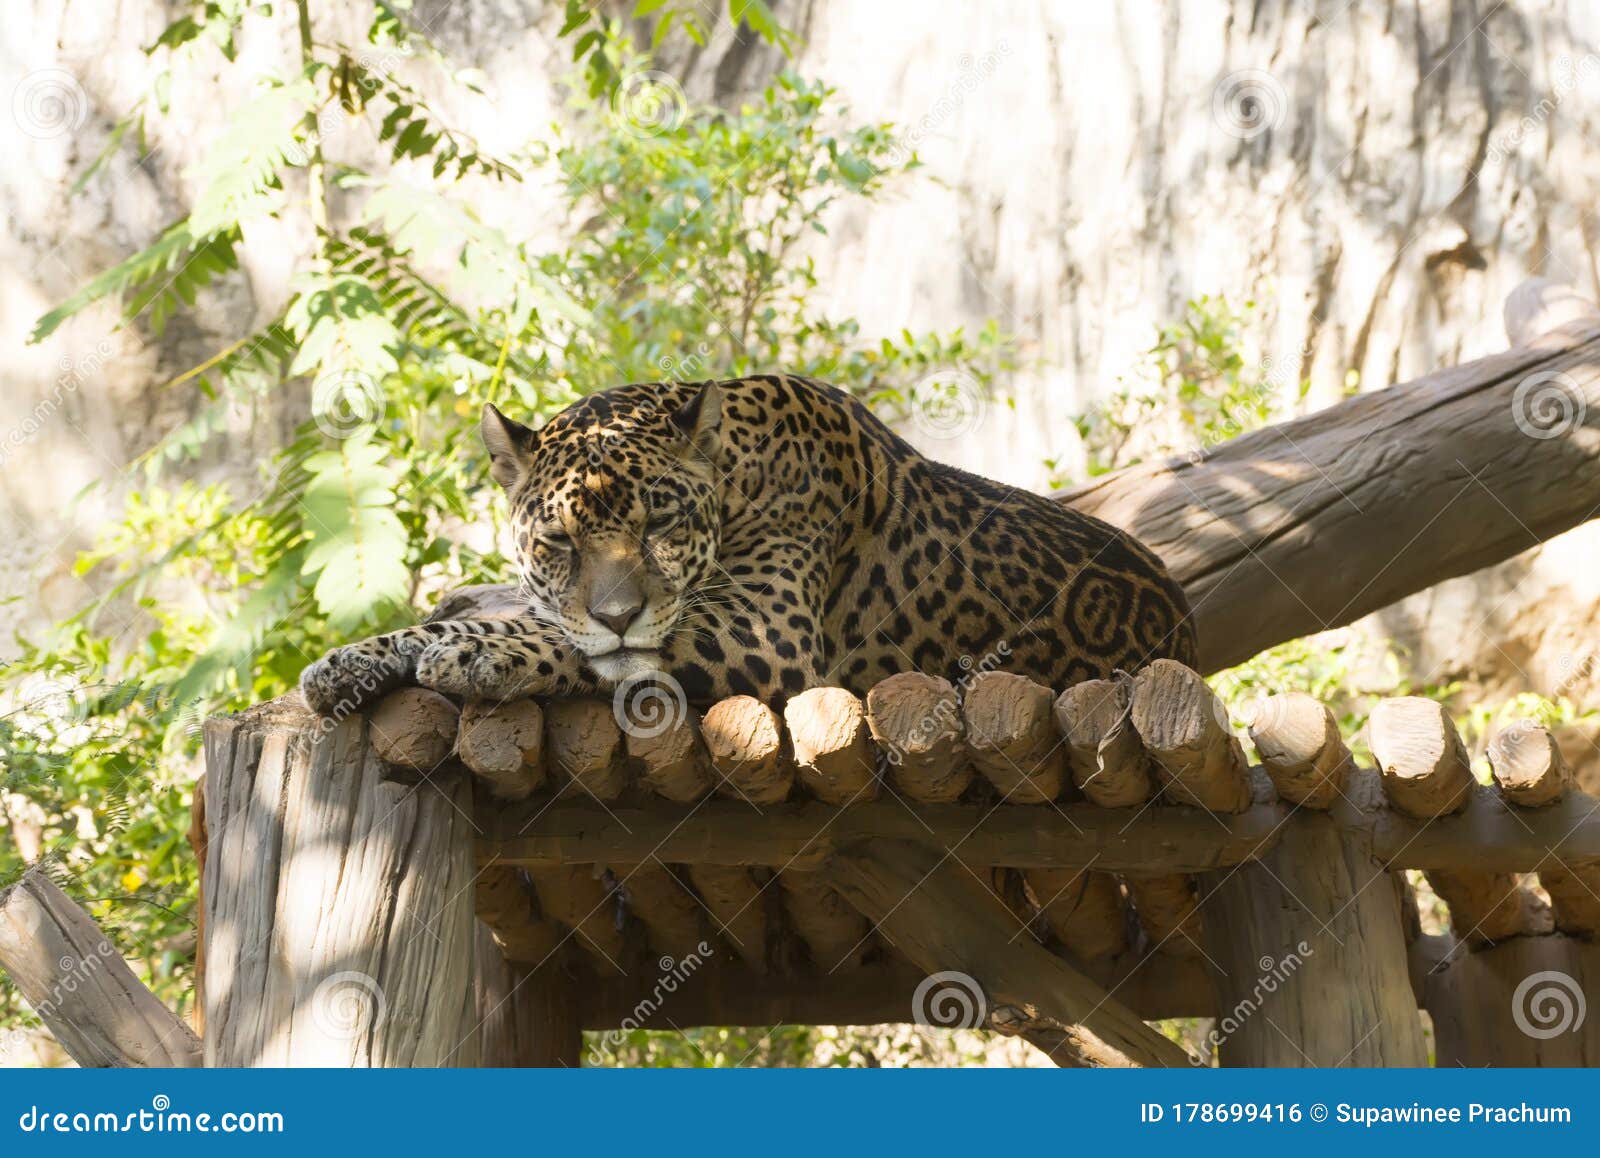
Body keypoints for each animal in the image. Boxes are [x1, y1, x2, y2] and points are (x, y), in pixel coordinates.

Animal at [299, 374, 1197, 719]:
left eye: (661, 525)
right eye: (557, 541)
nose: (620, 614)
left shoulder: (766, 633)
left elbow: (556, 641)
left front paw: (477, 656)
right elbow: (499, 614)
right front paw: (348, 662)